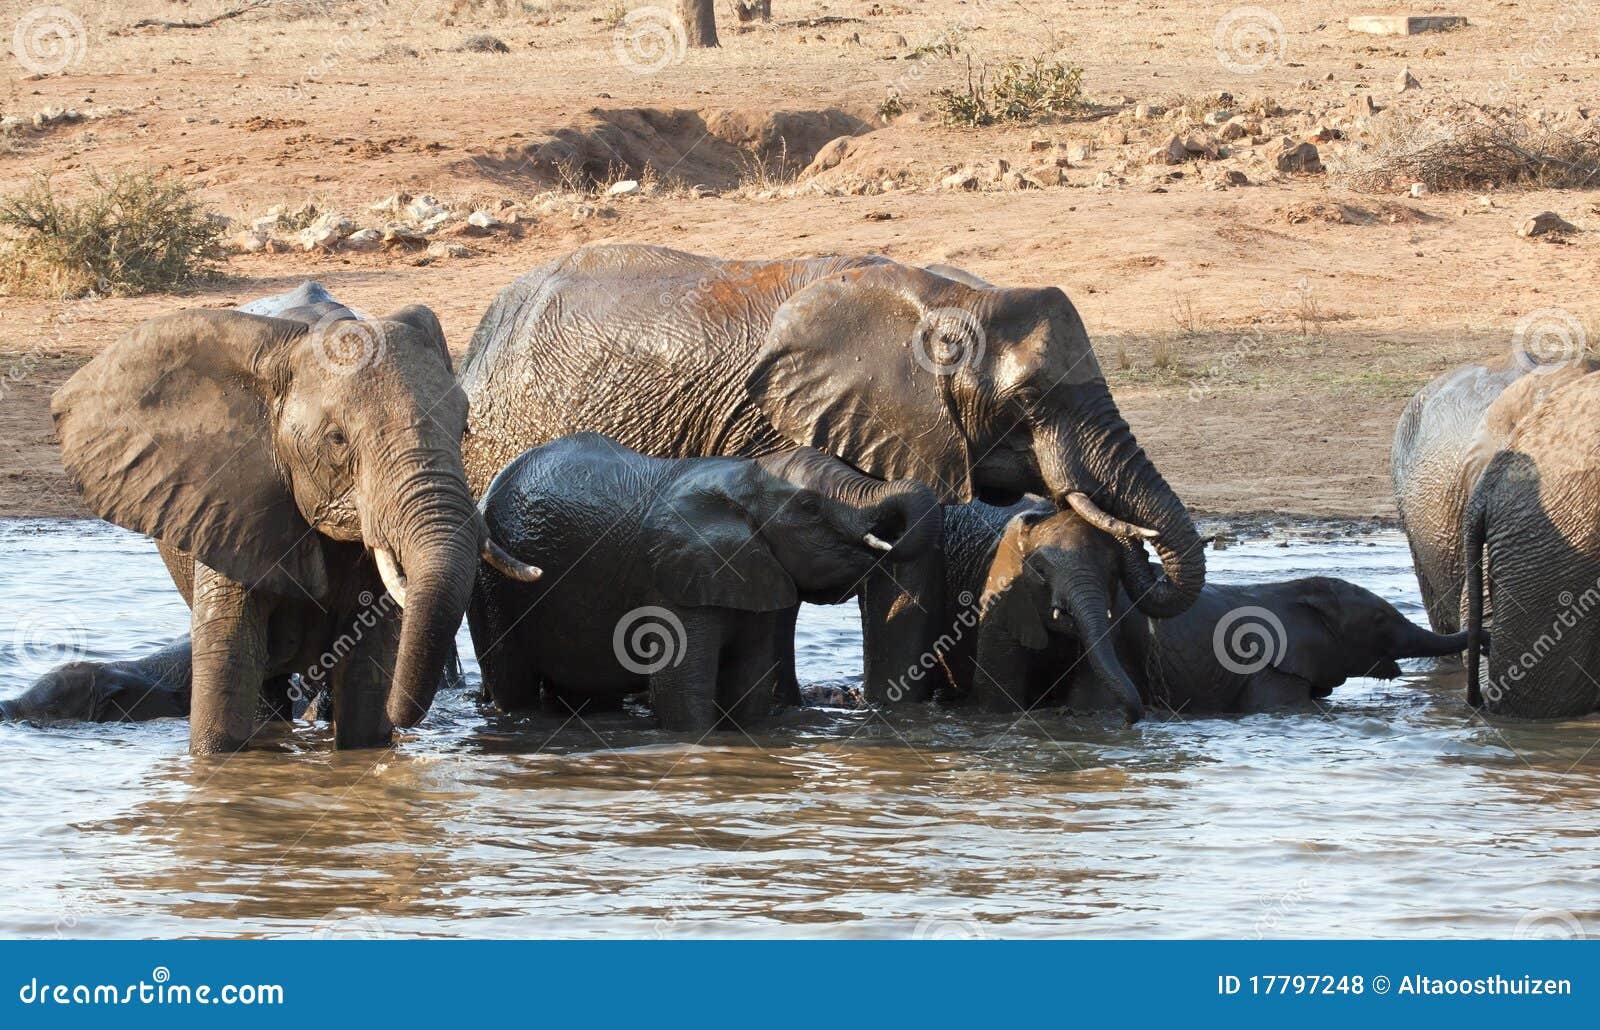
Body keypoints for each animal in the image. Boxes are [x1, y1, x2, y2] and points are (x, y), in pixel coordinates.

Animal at [34, 282, 539, 753]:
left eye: (464, 428)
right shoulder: (230, 502)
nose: (407, 722)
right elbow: (230, 656)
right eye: (337, 439)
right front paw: (216, 765)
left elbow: (367, 665)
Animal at [468, 433, 939, 730]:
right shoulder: (673, 584)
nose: (888, 537)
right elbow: (682, 693)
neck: (746, 478)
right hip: (493, 586)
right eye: (809, 507)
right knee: (513, 682)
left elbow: (749, 686)